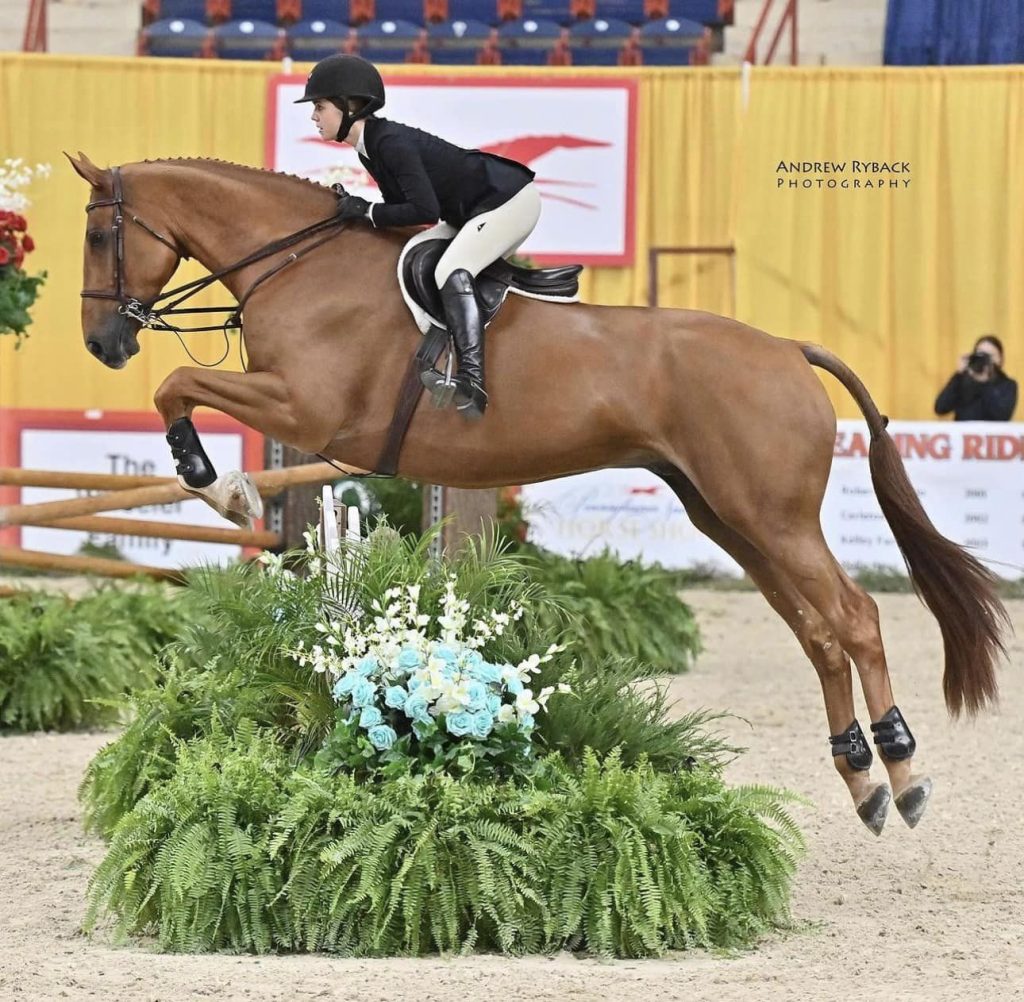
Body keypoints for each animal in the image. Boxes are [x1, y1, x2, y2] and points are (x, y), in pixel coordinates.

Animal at [69, 151, 1009, 835]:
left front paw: (219, 487)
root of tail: (786, 348)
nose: (103, 343)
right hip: (728, 516)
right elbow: (180, 388)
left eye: (100, 237)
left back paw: (903, 773)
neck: (298, 265)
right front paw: (222, 485)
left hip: (770, 517)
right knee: (817, 631)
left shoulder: (308, 408)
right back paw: (862, 783)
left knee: (853, 616)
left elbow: (179, 385)